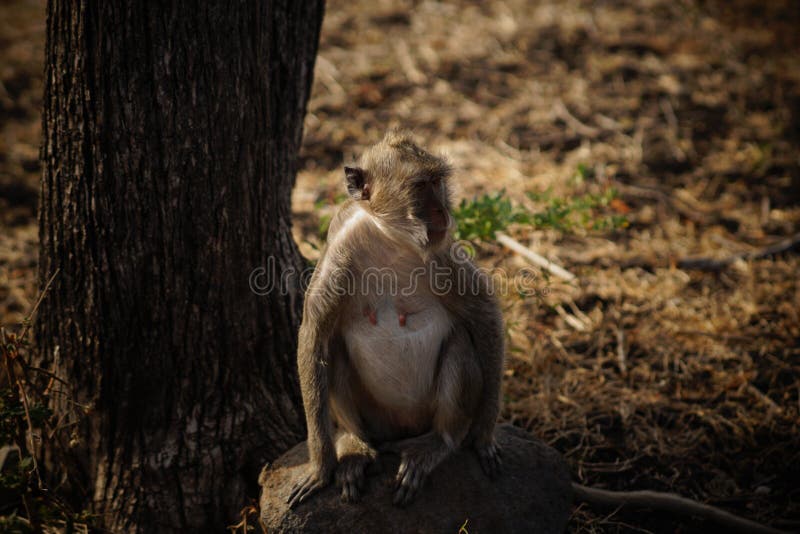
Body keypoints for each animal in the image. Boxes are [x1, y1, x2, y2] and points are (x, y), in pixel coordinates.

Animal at [287, 131, 504, 508]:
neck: (387, 239)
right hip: (378, 420)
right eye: (420, 186)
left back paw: (440, 441)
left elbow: (485, 315)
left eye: (437, 182)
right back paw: (356, 444)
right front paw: (321, 466)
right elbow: (315, 338)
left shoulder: (441, 257)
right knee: (335, 350)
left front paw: (484, 435)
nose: (442, 211)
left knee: (459, 344)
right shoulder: (339, 249)